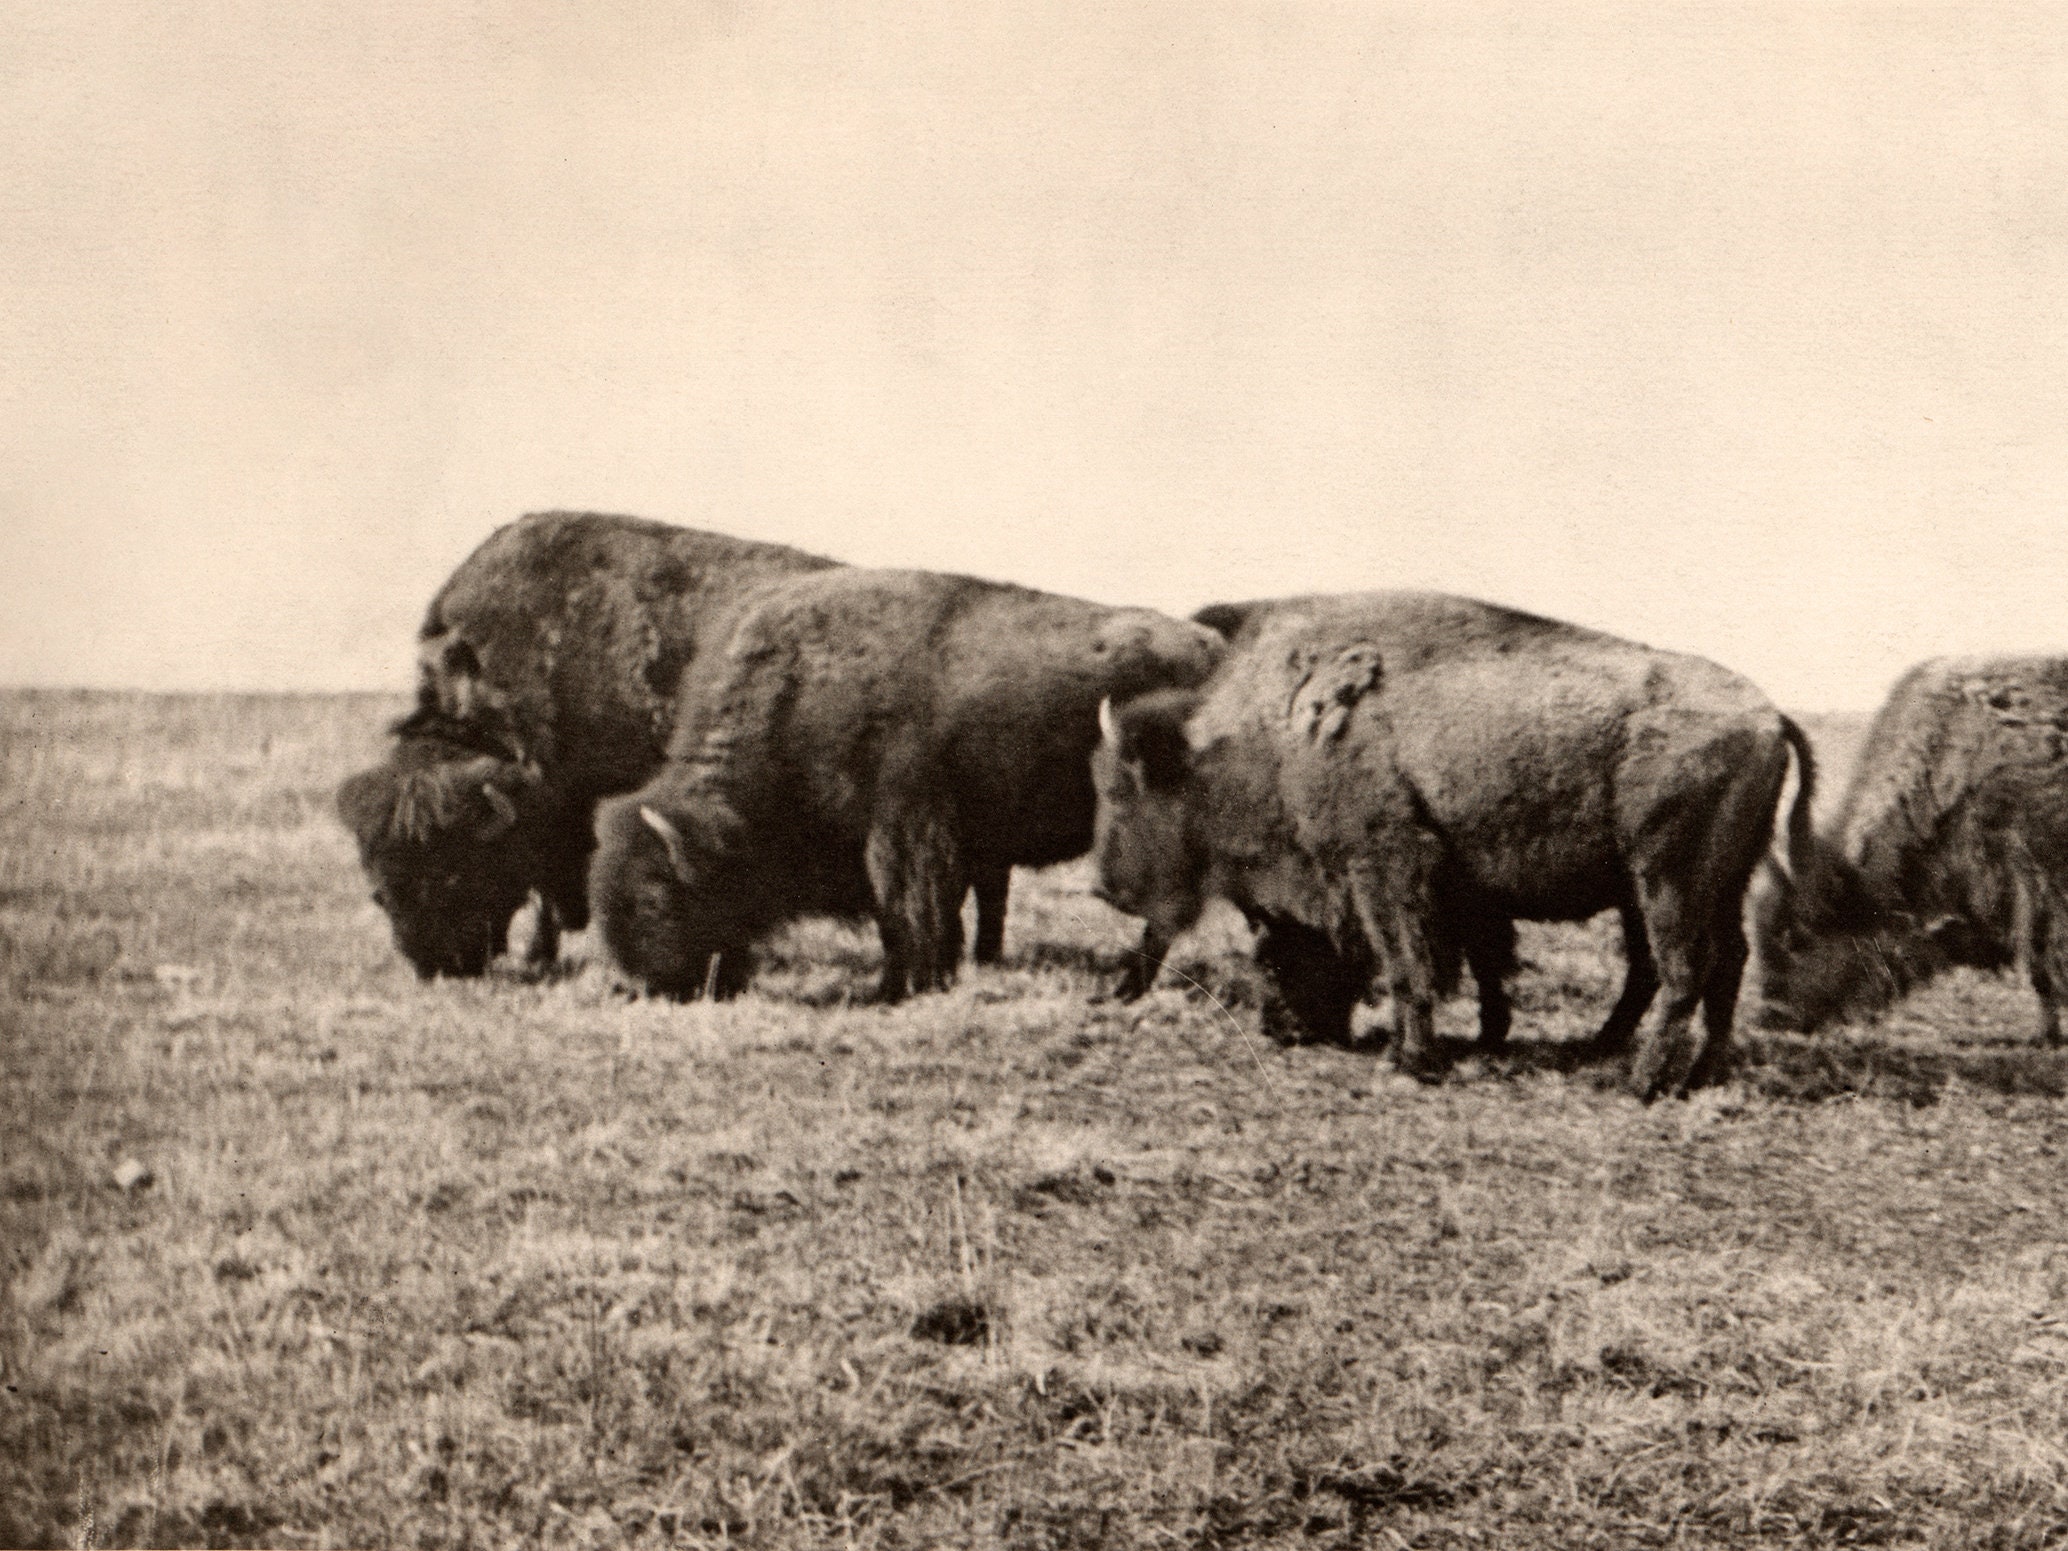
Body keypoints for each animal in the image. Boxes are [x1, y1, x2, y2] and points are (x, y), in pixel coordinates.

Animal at [590, 568, 1227, 1001]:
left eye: (658, 896)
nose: (649, 988)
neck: (799, 692)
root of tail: (1212, 649)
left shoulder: (907, 834)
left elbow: (910, 914)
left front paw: (902, 986)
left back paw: (1132, 984)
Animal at [1091, 591, 1814, 1100]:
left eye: (1121, 791)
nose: (1103, 887)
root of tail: (1770, 714)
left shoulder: (1383, 863)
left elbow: (1407, 961)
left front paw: (1409, 1061)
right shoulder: (1464, 892)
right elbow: (1484, 963)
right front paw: (1484, 1038)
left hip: (1666, 878)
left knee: (1682, 967)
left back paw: (1638, 1082)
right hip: (1710, 882)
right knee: (1716, 964)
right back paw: (1682, 1070)